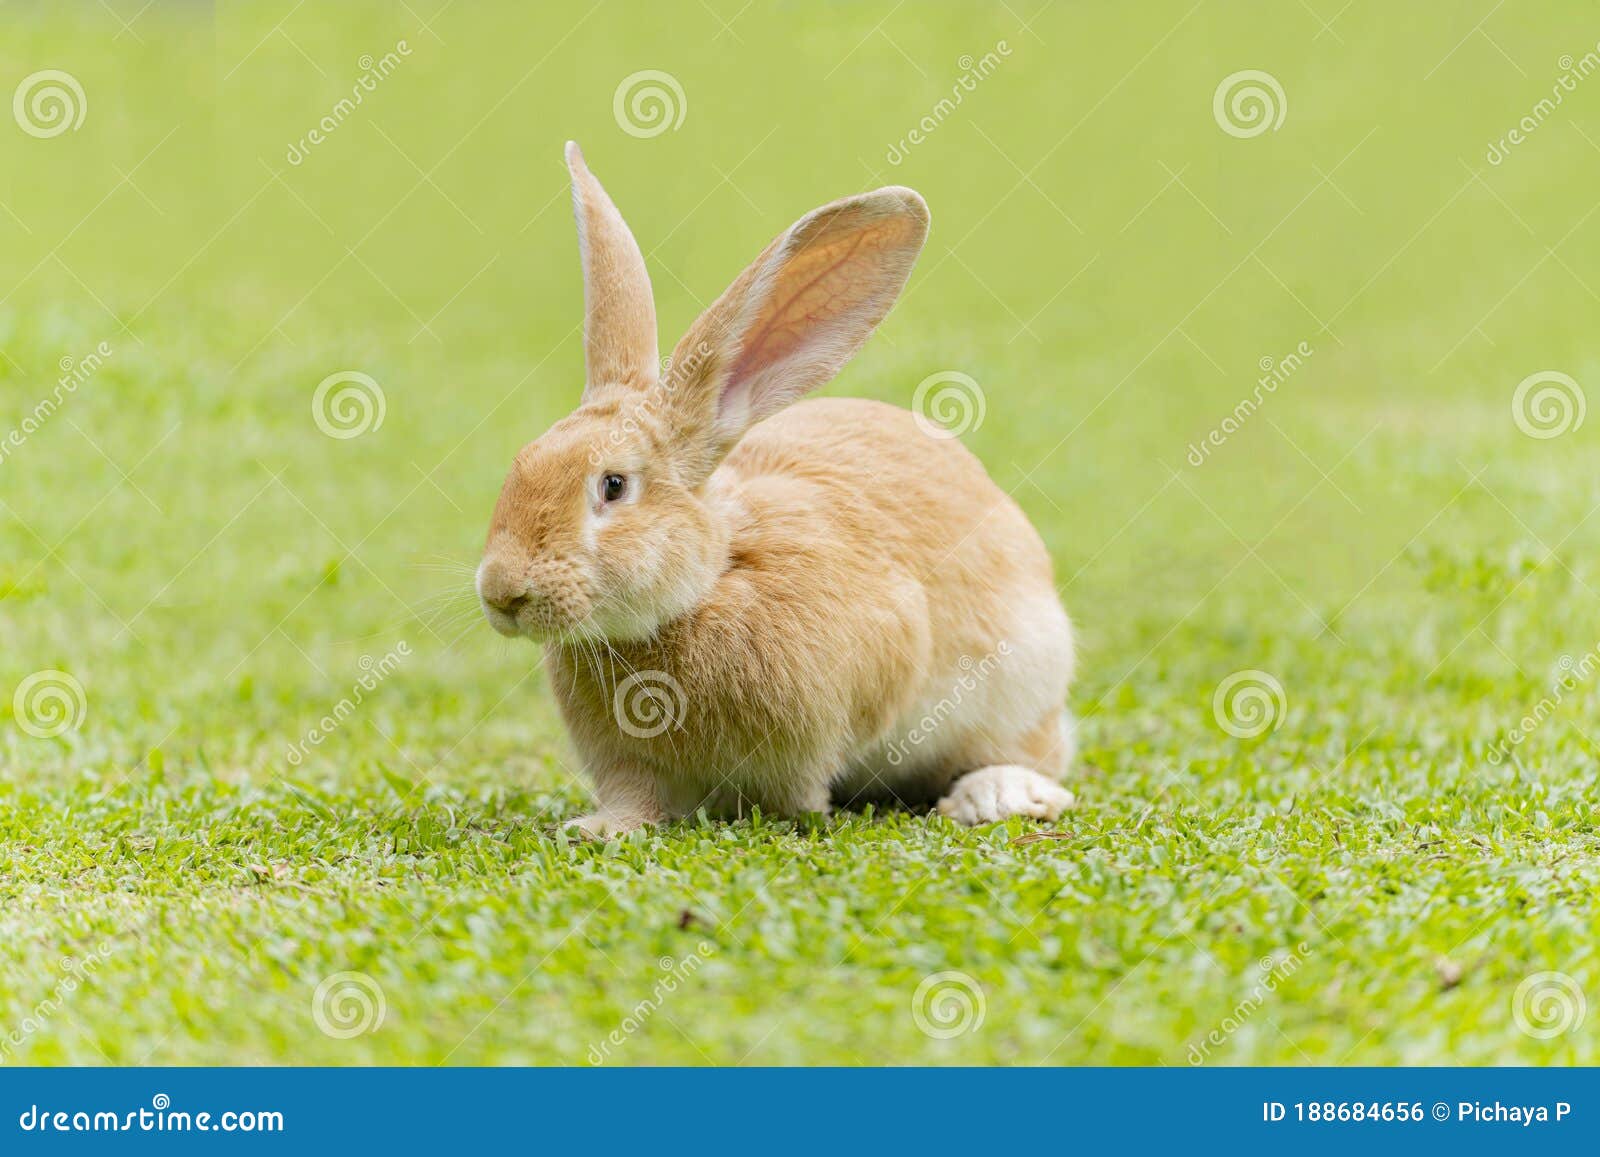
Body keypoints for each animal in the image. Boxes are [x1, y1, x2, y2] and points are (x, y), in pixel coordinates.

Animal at [477, 141, 1076, 837]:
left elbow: (796, 790)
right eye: (521, 463)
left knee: (1032, 751)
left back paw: (995, 796)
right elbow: (635, 796)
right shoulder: (629, 765)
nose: (502, 593)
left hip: (1022, 678)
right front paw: (600, 830)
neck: (708, 582)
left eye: (614, 486)